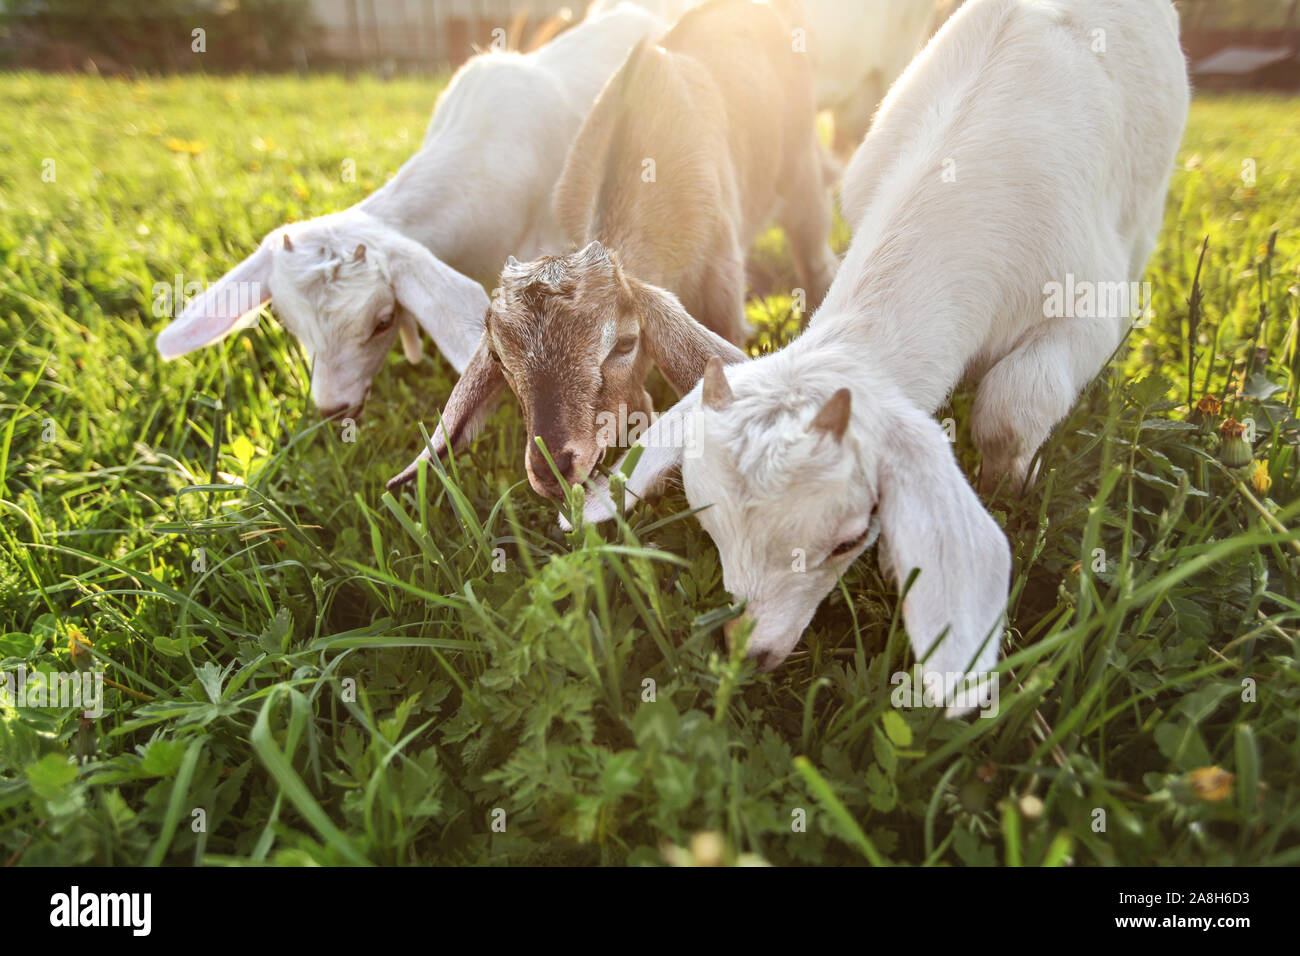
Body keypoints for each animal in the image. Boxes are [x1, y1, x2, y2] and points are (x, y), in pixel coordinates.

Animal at [574, 0, 1190, 701]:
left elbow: (1011, 409)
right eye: (708, 521)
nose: (749, 653)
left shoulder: (1092, 304)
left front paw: (1013, 487)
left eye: (849, 539)